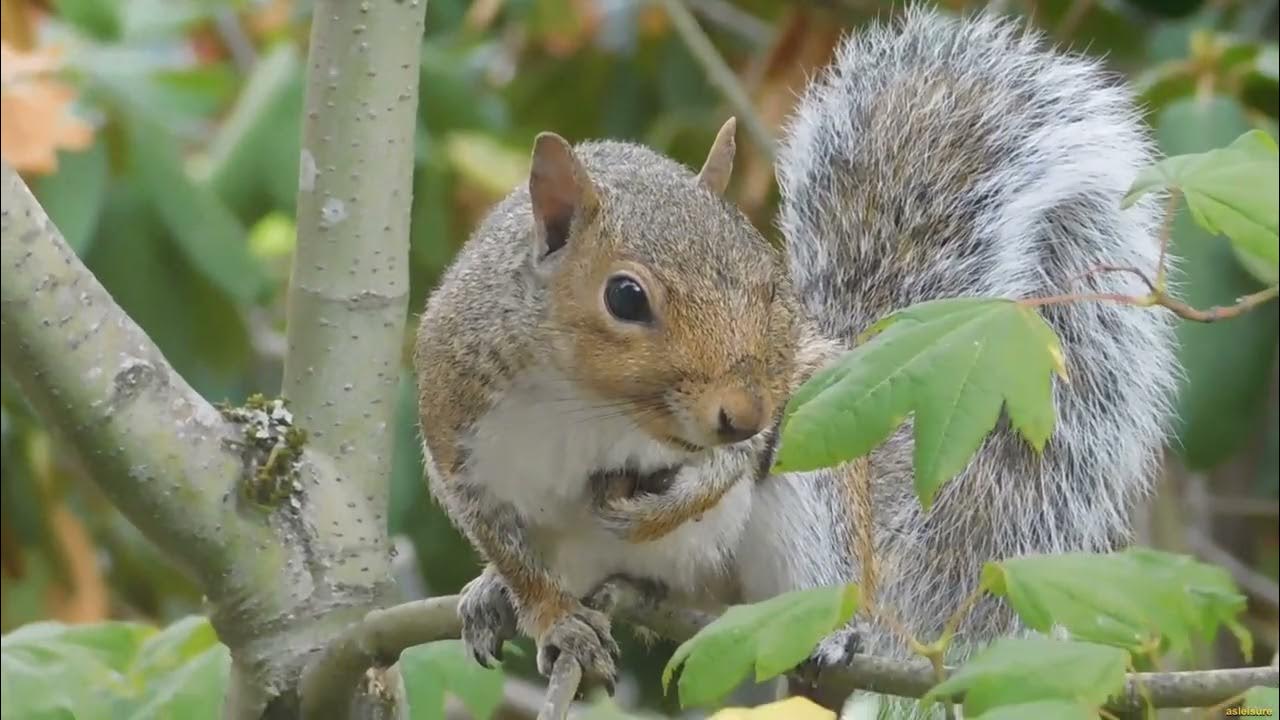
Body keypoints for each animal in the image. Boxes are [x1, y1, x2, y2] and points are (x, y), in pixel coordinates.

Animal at [413, 5, 1177, 704]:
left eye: (770, 286)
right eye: (625, 297)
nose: (744, 413)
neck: (585, 404)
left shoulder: (776, 396)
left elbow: (728, 467)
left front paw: (670, 502)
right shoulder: (456, 432)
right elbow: (509, 552)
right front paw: (549, 617)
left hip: (818, 499)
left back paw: (836, 632)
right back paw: (490, 596)